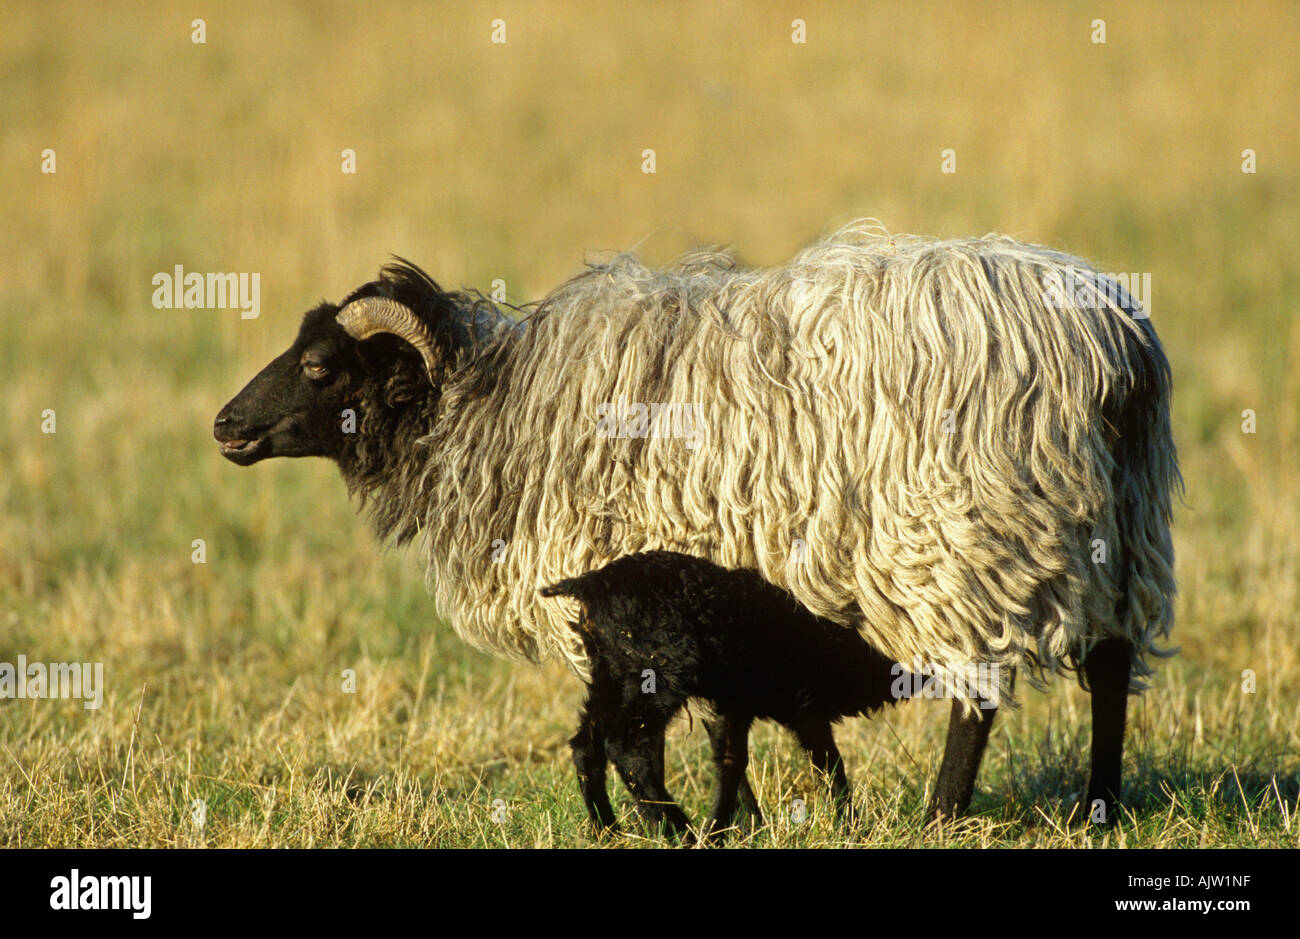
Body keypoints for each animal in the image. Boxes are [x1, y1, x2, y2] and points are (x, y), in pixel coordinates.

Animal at [541, 549, 901, 841]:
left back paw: (608, 830)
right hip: (660, 670)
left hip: (609, 674)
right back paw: (679, 831)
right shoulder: (799, 706)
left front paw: (729, 829)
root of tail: (591, 583)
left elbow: (734, 761)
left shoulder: (738, 704)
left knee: (585, 745)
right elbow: (824, 763)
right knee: (626, 745)